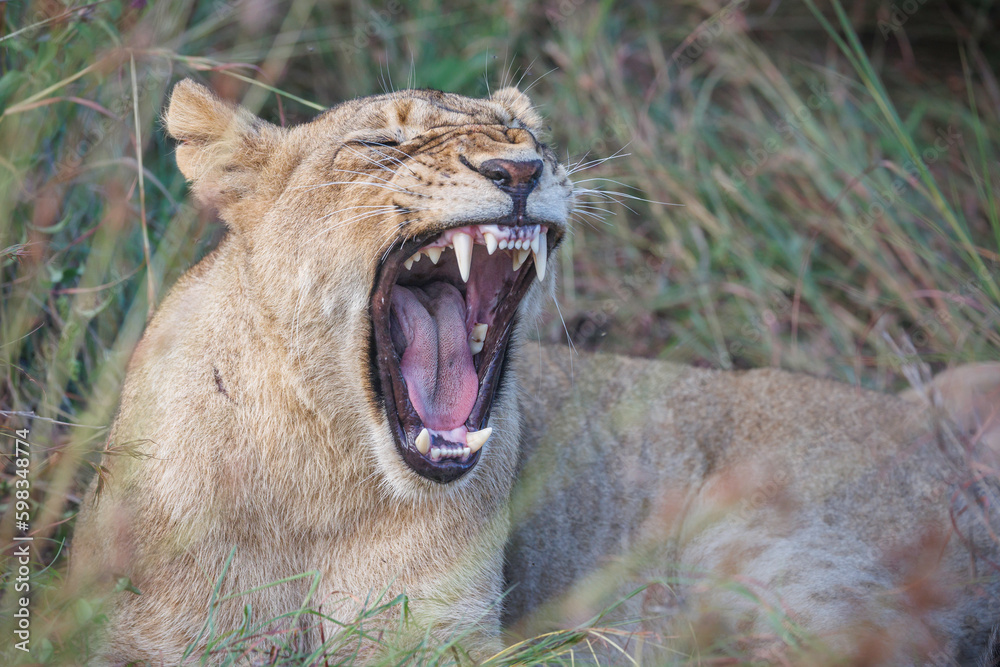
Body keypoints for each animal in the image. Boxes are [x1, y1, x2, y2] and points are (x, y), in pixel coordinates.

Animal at [69, 80, 1000, 665]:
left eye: (535, 142)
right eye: (379, 143)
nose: (521, 171)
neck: (324, 472)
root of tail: (932, 429)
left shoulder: (441, 635)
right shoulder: (131, 630)